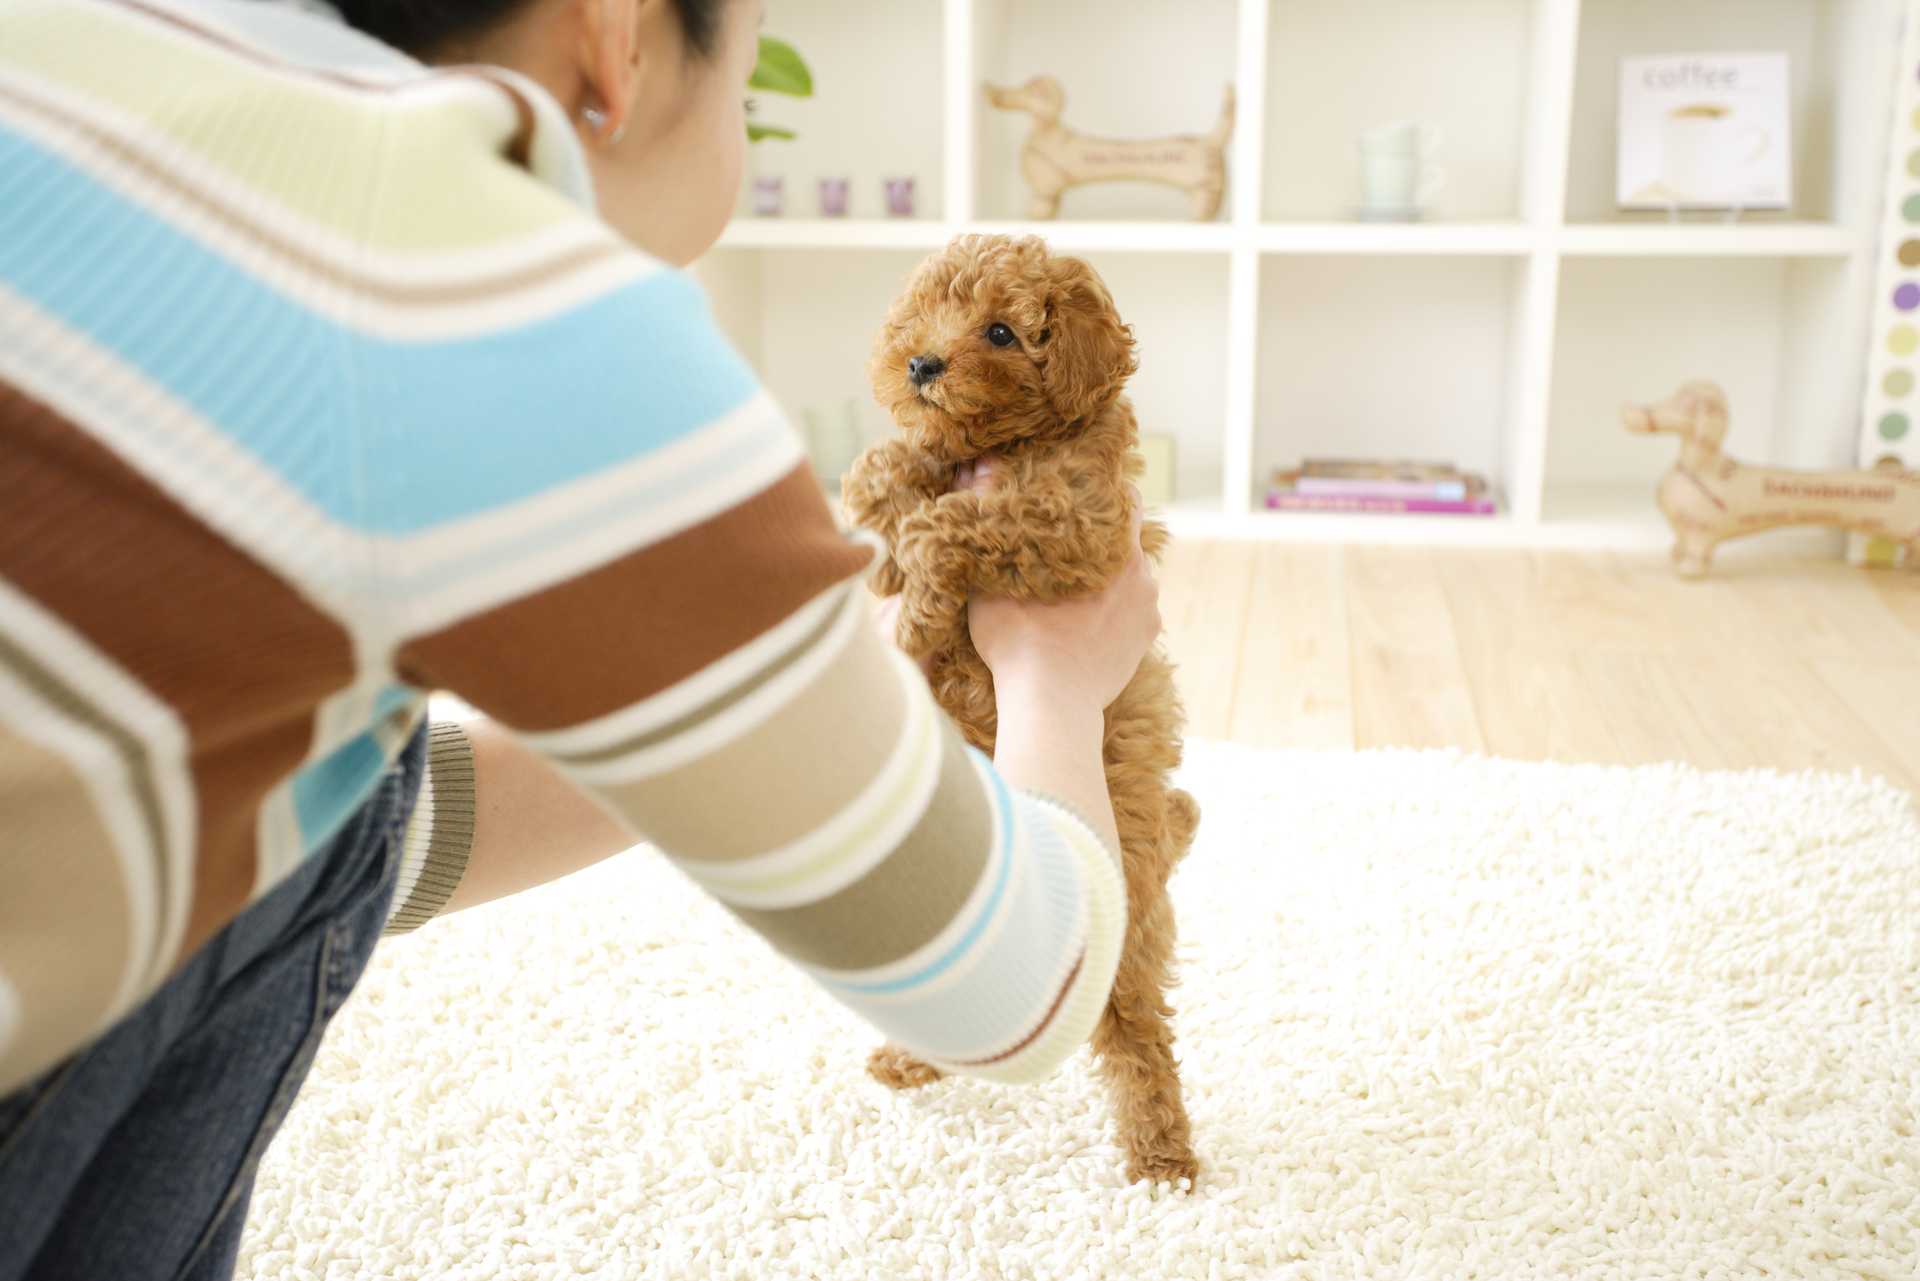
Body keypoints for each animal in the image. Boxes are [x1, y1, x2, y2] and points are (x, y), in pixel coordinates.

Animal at [844, 235, 1198, 1190]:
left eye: (1001, 331)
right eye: (923, 316)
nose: (921, 365)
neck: (1017, 437)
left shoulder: (1075, 521)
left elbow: (956, 524)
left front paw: (920, 608)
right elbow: (893, 467)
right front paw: (882, 518)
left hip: (1115, 936)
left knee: (1138, 1039)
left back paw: (1163, 1156)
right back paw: (908, 1060)